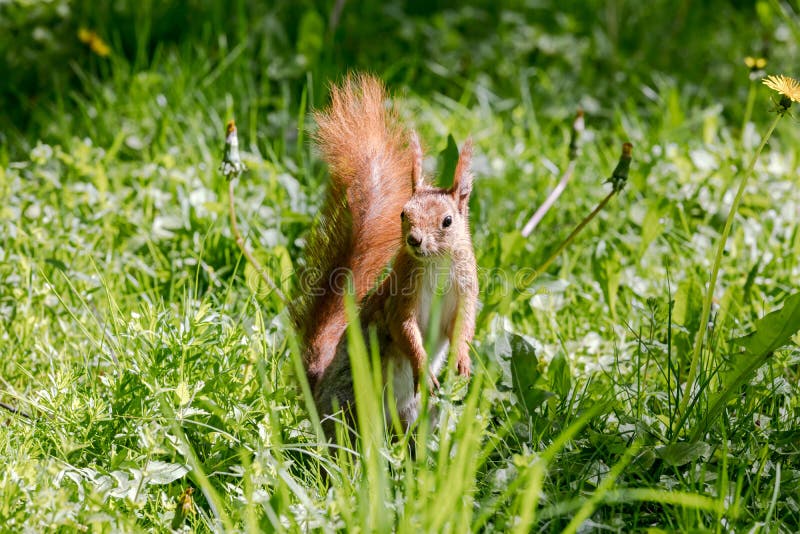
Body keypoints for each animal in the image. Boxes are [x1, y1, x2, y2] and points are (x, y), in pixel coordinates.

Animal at [293, 74, 478, 434]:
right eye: (403, 214)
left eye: (448, 221)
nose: (414, 240)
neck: (436, 262)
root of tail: (316, 392)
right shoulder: (401, 295)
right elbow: (403, 326)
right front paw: (423, 367)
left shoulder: (466, 289)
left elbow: (463, 325)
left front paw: (462, 358)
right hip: (347, 401)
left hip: (414, 413)